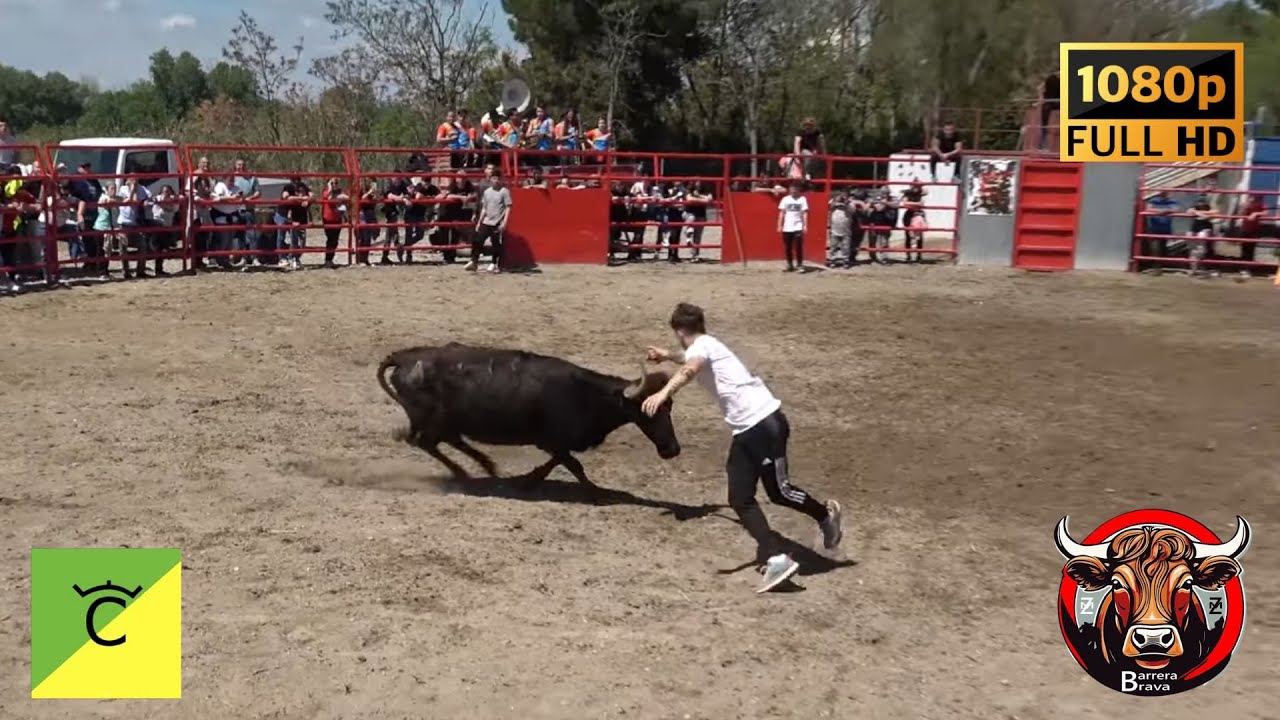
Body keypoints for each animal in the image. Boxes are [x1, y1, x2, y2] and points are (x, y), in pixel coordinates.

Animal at [376, 343, 681, 487]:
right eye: (647, 410)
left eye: (669, 406)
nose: (672, 450)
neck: (587, 394)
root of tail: (403, 358)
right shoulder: (550, 440)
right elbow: (571, 463)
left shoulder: (555, 442)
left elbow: (563, 461)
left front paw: (531, 478)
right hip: (433, 421)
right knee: (427, 442)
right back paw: (465, 472)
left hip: (444, 422)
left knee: (446, 441)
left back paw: (486, 466)